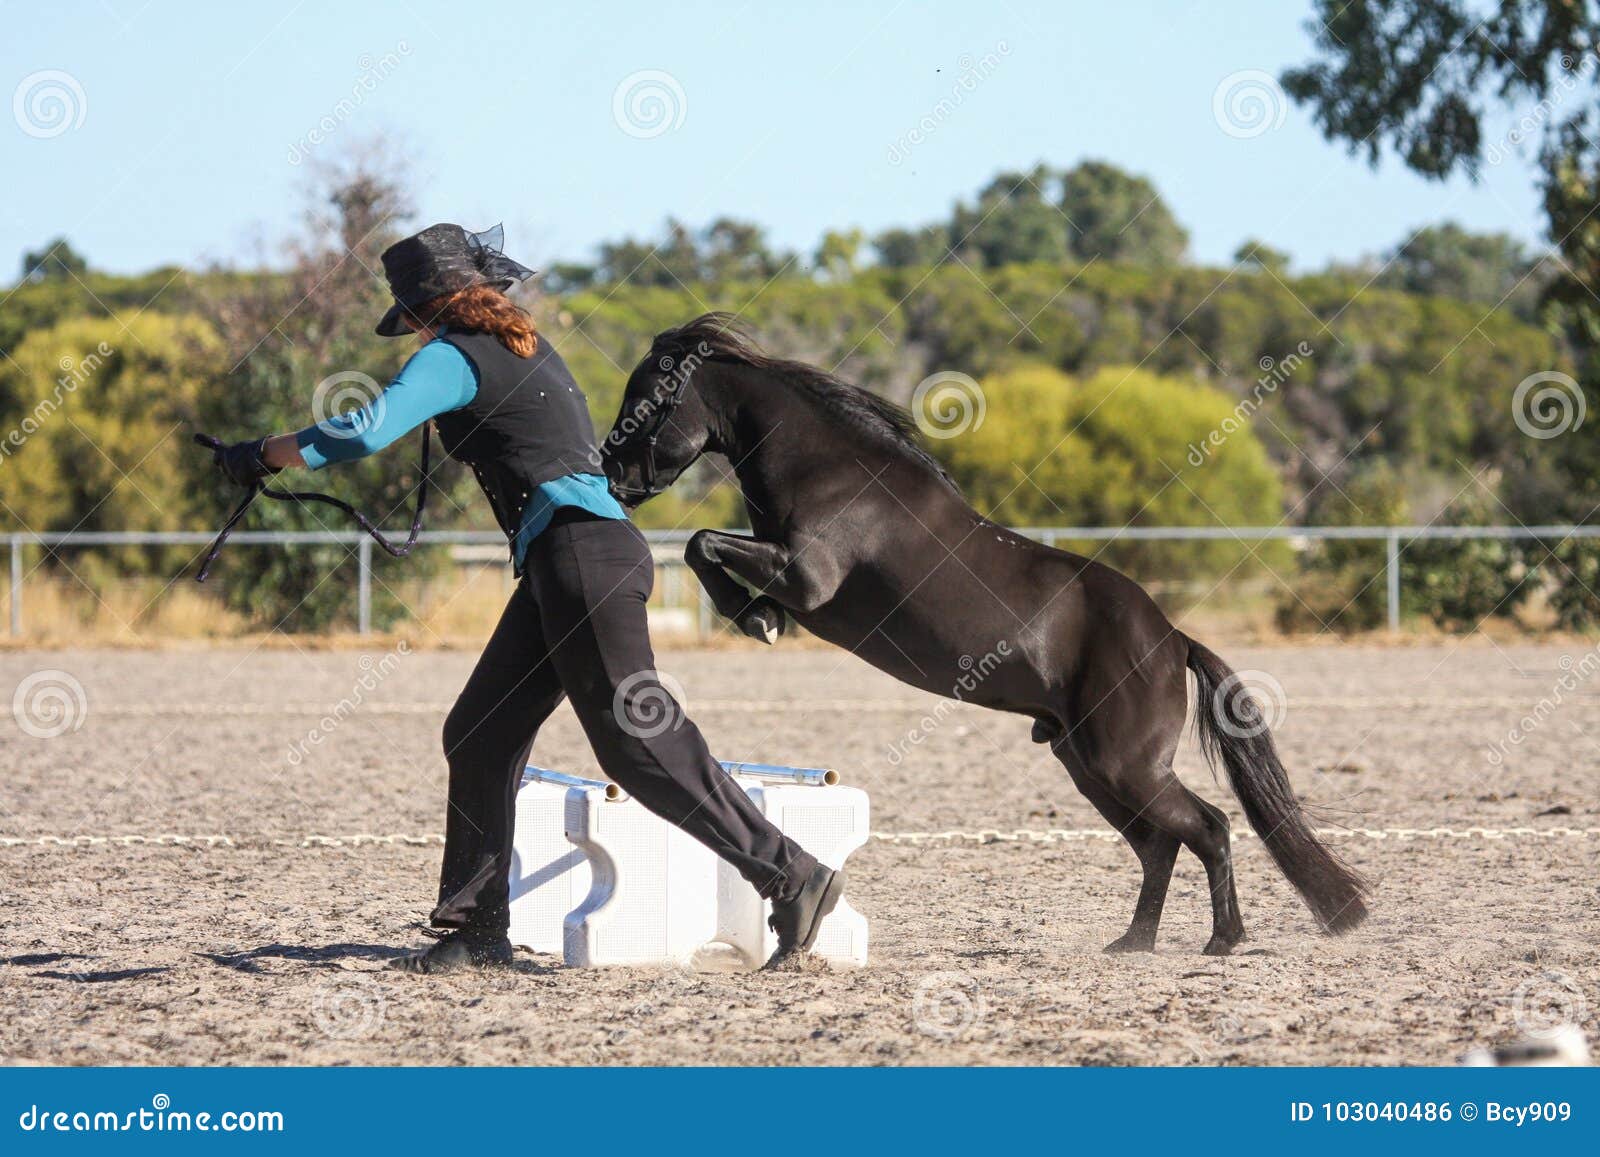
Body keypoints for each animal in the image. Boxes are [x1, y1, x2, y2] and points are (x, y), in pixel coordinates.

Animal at [599, 312, 1368, 955]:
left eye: (648, 397)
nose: (610, 475)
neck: (832, 471)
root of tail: (1171, 637)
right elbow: (705, 545)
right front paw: (756, 616)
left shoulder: (807, 577)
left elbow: (702, 542)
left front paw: (756, 617)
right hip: (1087, 763)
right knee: (1159, 846)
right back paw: (1133, 943)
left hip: (1127, 764)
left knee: (1207, 828)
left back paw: (1223, 941)